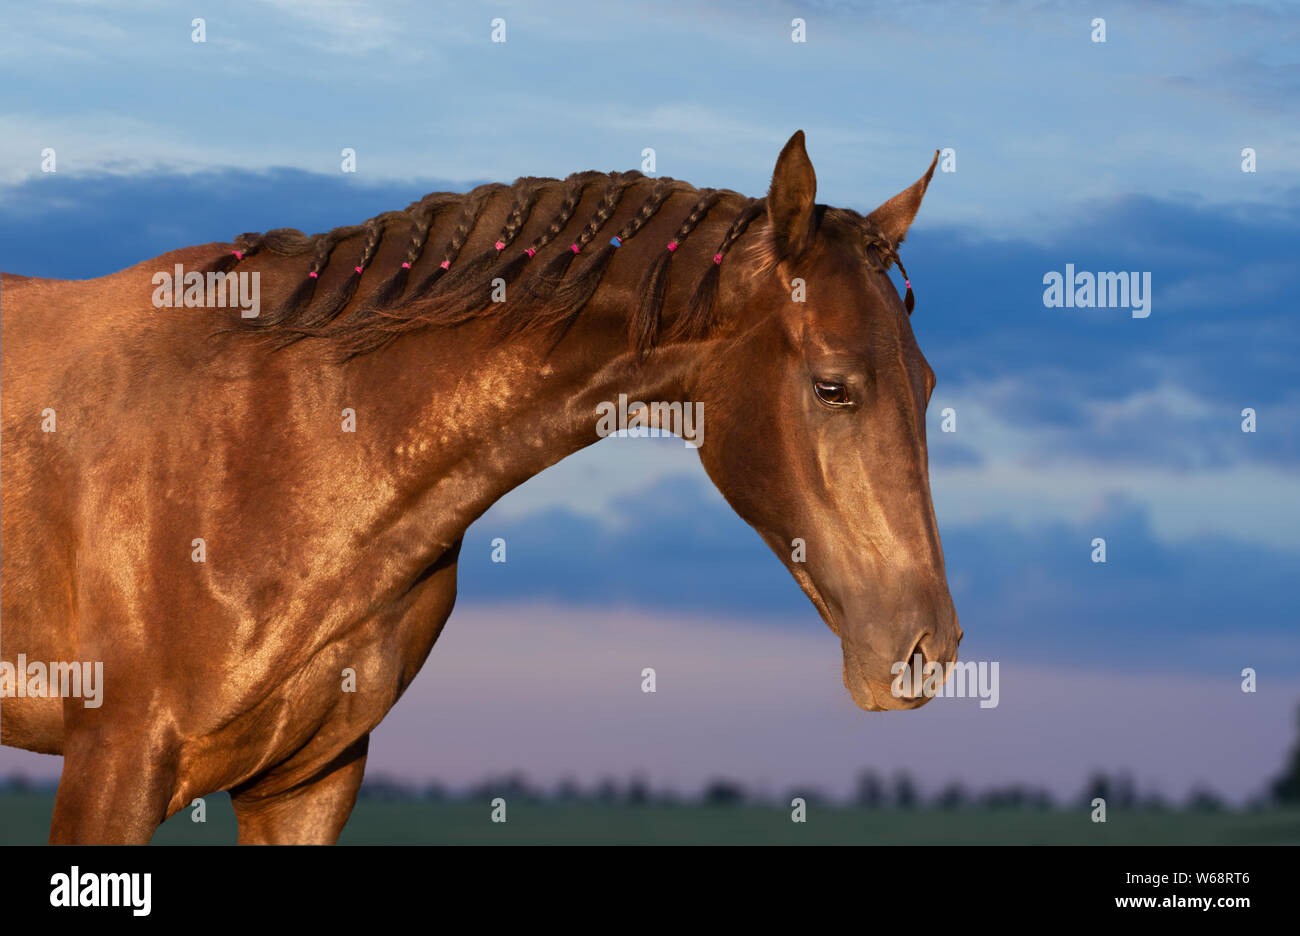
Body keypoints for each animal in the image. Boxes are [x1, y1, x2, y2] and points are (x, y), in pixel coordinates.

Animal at [0, 131, 960, 843]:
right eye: (832, 387)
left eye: (928, 385)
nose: (928, 652)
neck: (278, 433)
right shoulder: (114, 768)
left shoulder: (306, 782)